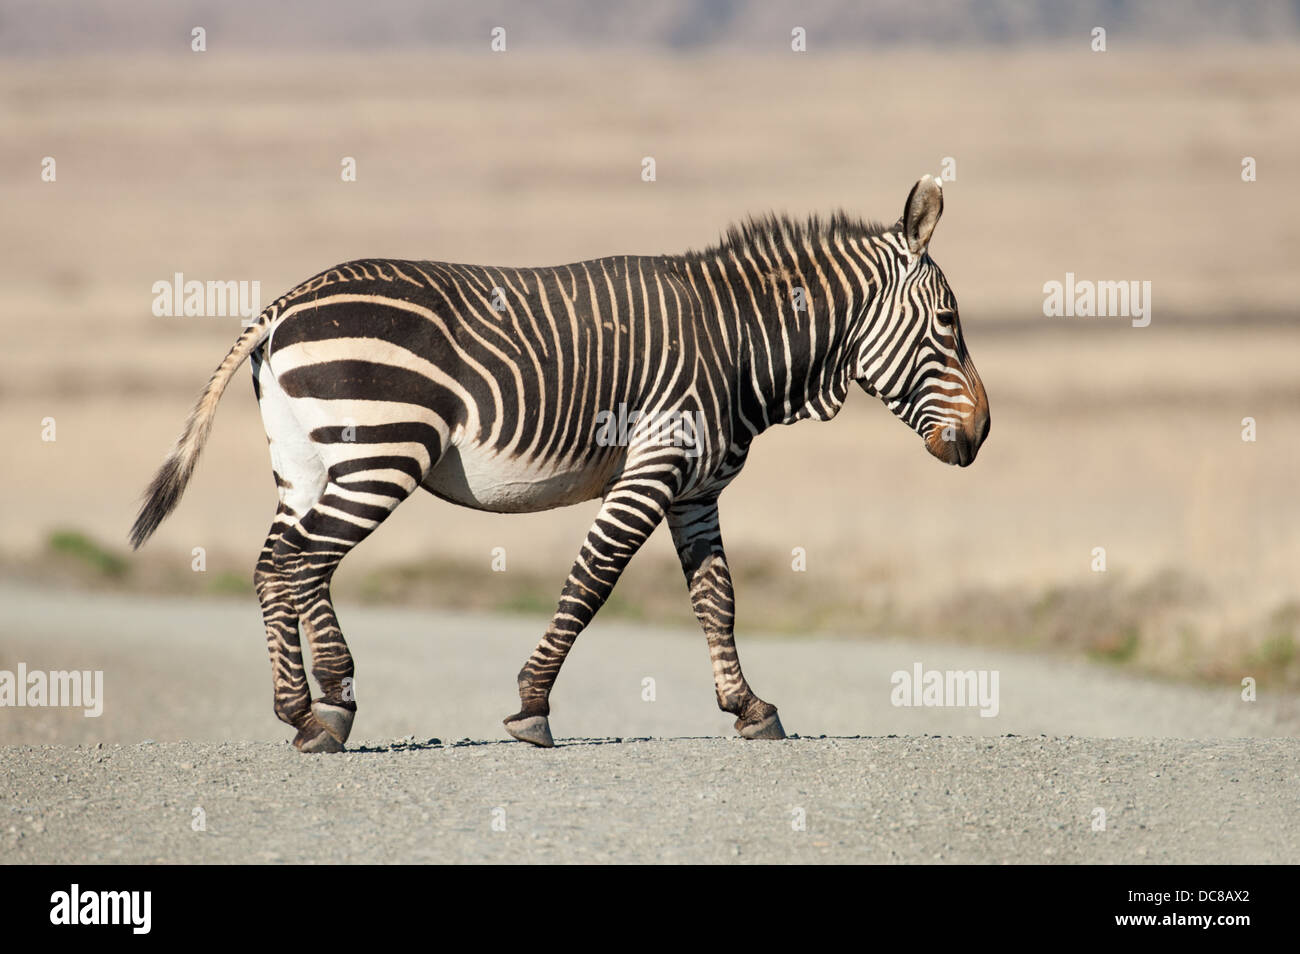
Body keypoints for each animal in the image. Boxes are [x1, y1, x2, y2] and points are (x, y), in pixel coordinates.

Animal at [130, 175, 989, 752]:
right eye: (949, 324)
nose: (981, 434)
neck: (737, 343)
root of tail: (283, 305)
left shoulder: (697, 489)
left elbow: (718, 600)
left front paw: (750, 708)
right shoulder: (655, 467)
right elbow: (592, 582)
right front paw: (531, 707)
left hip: (309, 461)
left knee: (279, 564)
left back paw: (319, 707)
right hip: (382, 448)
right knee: (299, 564)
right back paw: (315, 713)